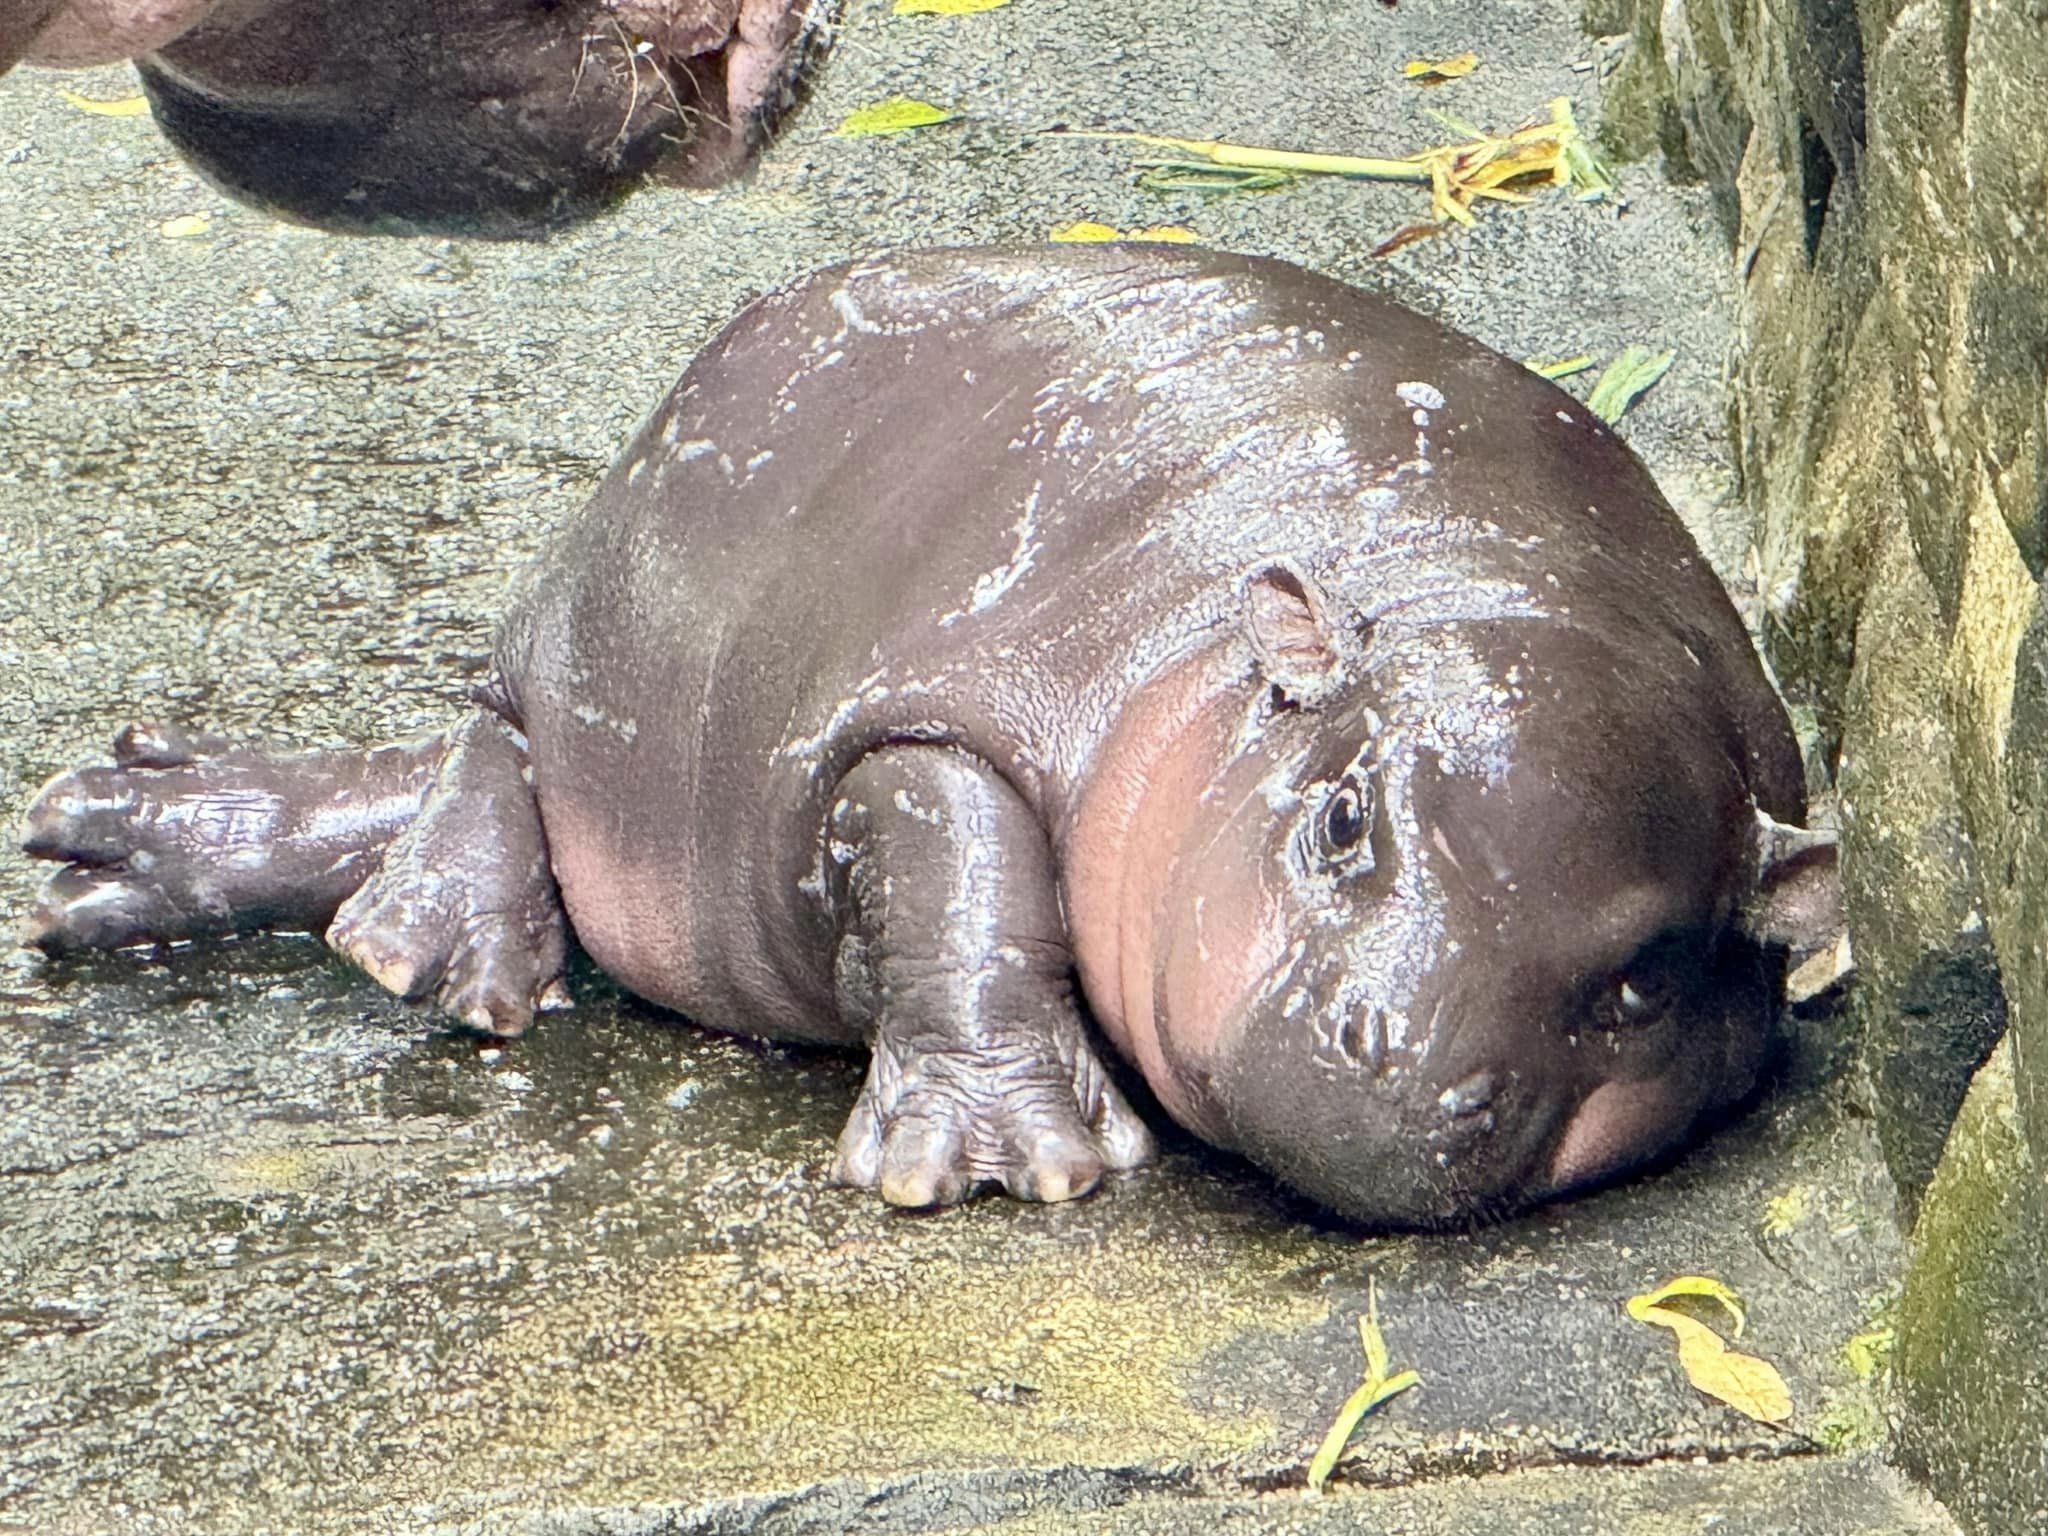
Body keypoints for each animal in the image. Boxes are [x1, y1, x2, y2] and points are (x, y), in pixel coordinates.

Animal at [19, 245, 1840, 1225]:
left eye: (1644, 981)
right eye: (1340, 819)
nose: (1396, 1050)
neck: (1482, 586)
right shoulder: (963, 695)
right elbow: (959, 859)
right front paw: (996, 1159)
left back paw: (109, 840)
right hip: (614, 618)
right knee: (497, 732)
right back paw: (432, 949)